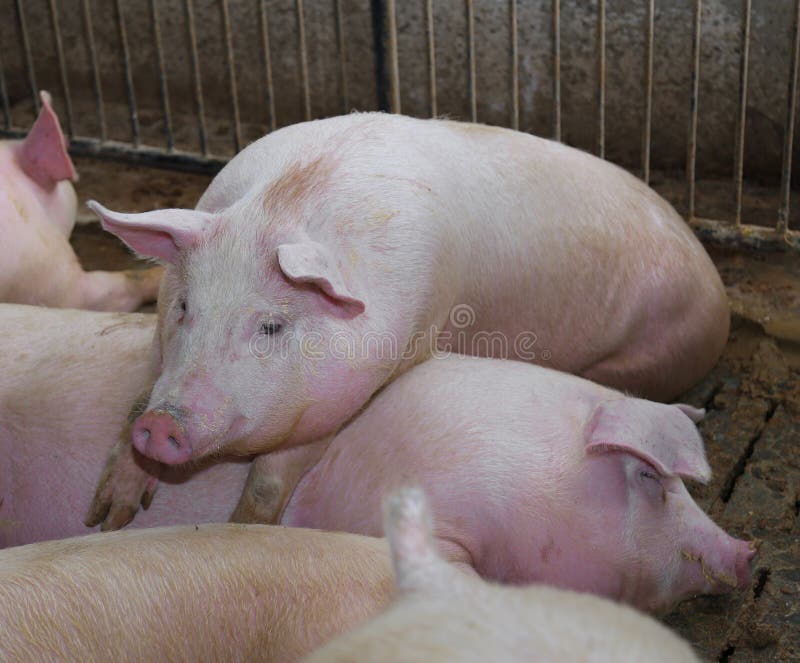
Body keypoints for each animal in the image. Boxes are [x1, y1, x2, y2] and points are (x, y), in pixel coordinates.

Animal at [86, 112, 729, 527]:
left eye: (271, 326)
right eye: (184, 307)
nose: (163, 427)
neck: (283, 204)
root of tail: (716, 291)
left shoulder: (363, 381)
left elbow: (274, 480)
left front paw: (239, 531)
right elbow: (138, 394)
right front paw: (106, 516)